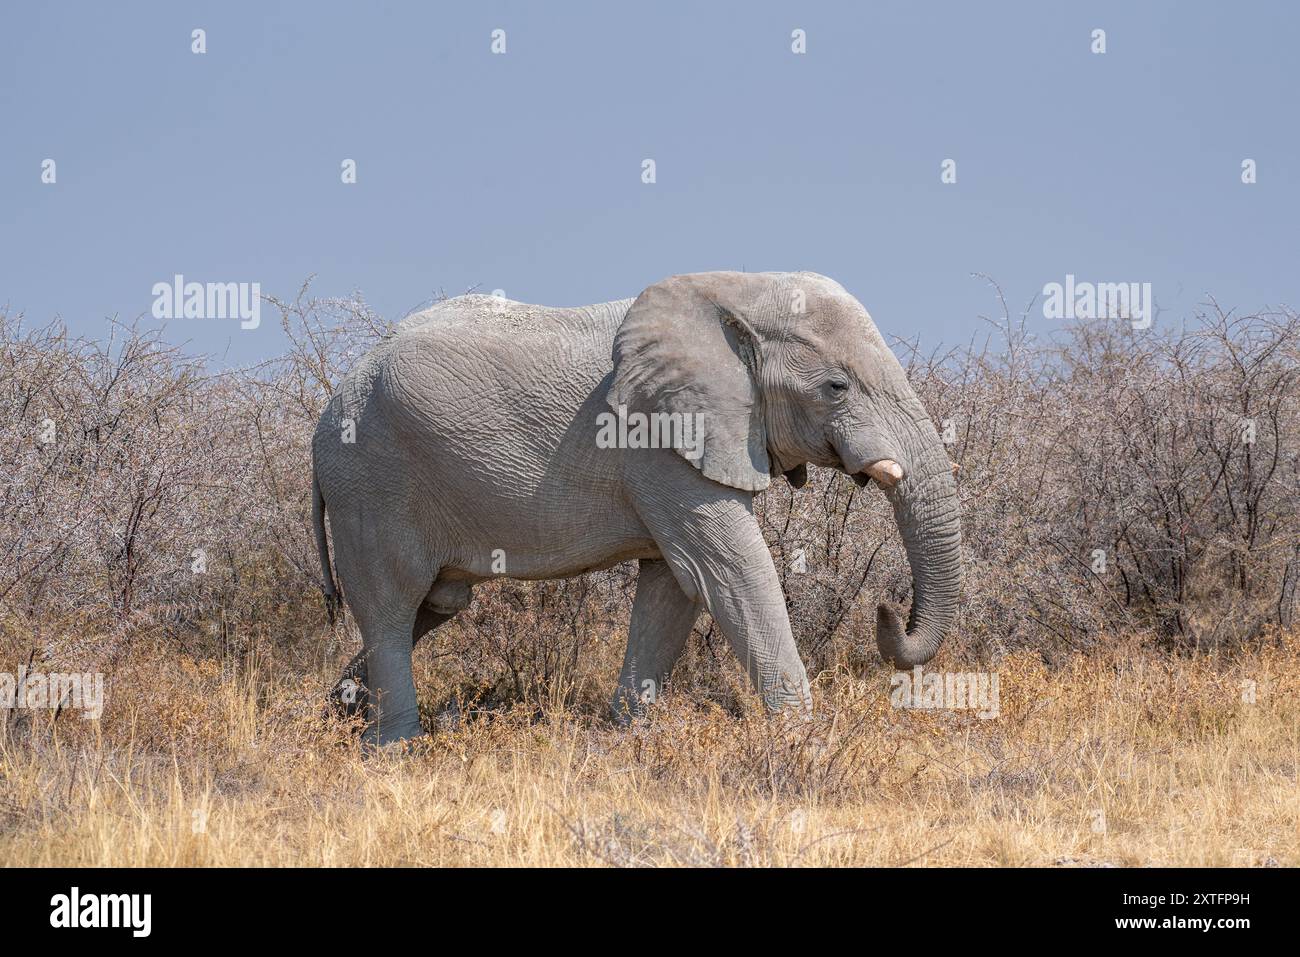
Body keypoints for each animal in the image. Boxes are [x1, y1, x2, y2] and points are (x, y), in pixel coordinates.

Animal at [312, 271, 961, 746]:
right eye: (836, 388)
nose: (886, 607)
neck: (737, 289)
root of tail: (326, 414)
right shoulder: (659, 440)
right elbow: (729, 572)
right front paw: (804, 740)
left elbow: (673, 588)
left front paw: (628, 738)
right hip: (369, 484)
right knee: (392, 606)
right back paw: (395, 748)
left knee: (435, 604)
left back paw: (338, 710)